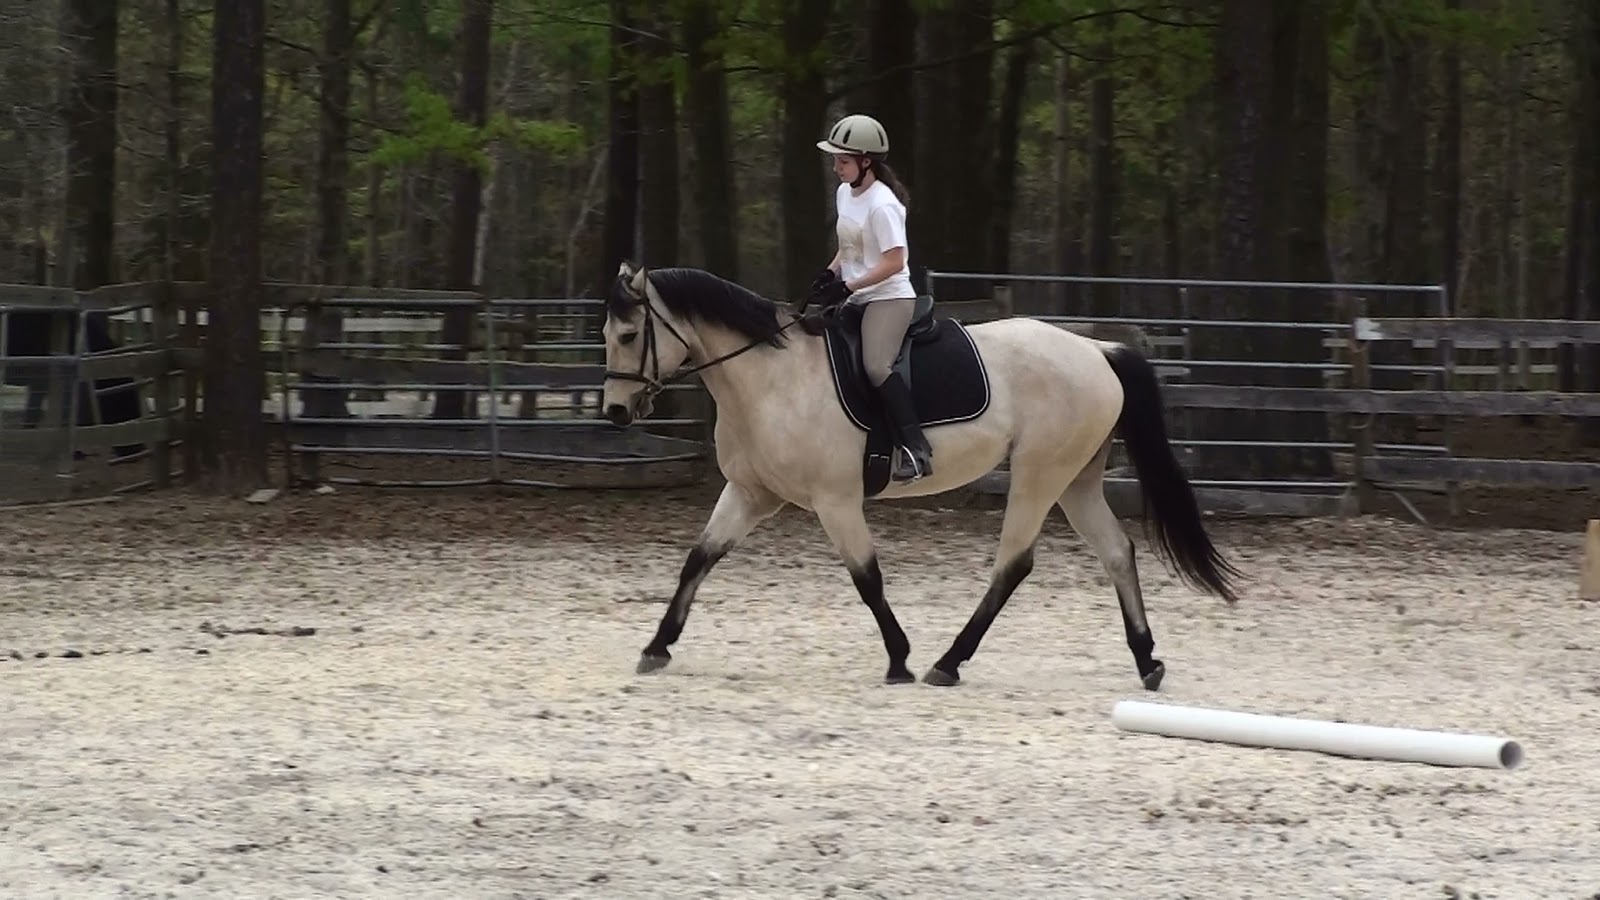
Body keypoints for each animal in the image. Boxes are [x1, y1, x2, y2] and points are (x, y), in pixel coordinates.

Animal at [600, 261, 1241, 689]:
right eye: (607, 334)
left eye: (630, 335)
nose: (614, 413)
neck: (771, 377)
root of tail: (1097, 351)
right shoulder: (751, 493)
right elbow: (698, 559)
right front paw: (657, 646)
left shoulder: (835, 500)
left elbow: (867, 578)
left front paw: (899, 658)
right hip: (1075, 480)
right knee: (1116, 552)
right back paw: (1147, 660)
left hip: (1040, 473)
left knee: (1015, 563)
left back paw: (947, 662)